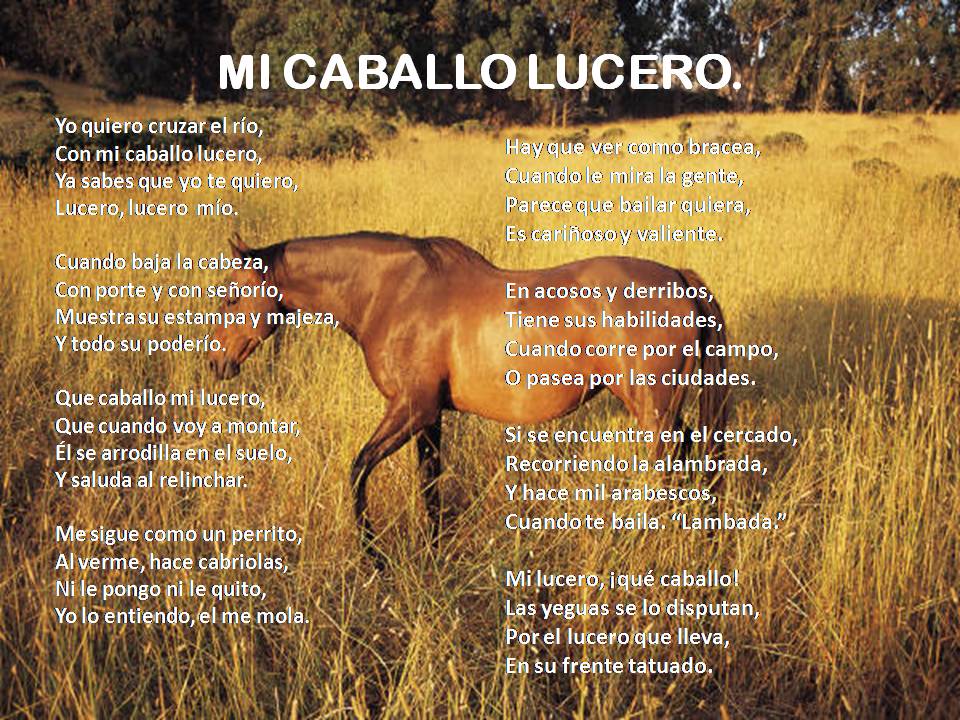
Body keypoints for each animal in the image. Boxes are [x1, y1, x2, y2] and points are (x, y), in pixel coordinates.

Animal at [207, 231, 729, 560]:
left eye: (230, 297)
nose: (215, 364)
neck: (391, 294)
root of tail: (680, 280)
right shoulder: (430, 417)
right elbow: (429, 482)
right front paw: (436, 551)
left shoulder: (409, 409)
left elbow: (358, 470)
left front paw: (373, 556)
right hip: (661, 408)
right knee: (691, 456)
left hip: (652, 410)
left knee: (665, 471)